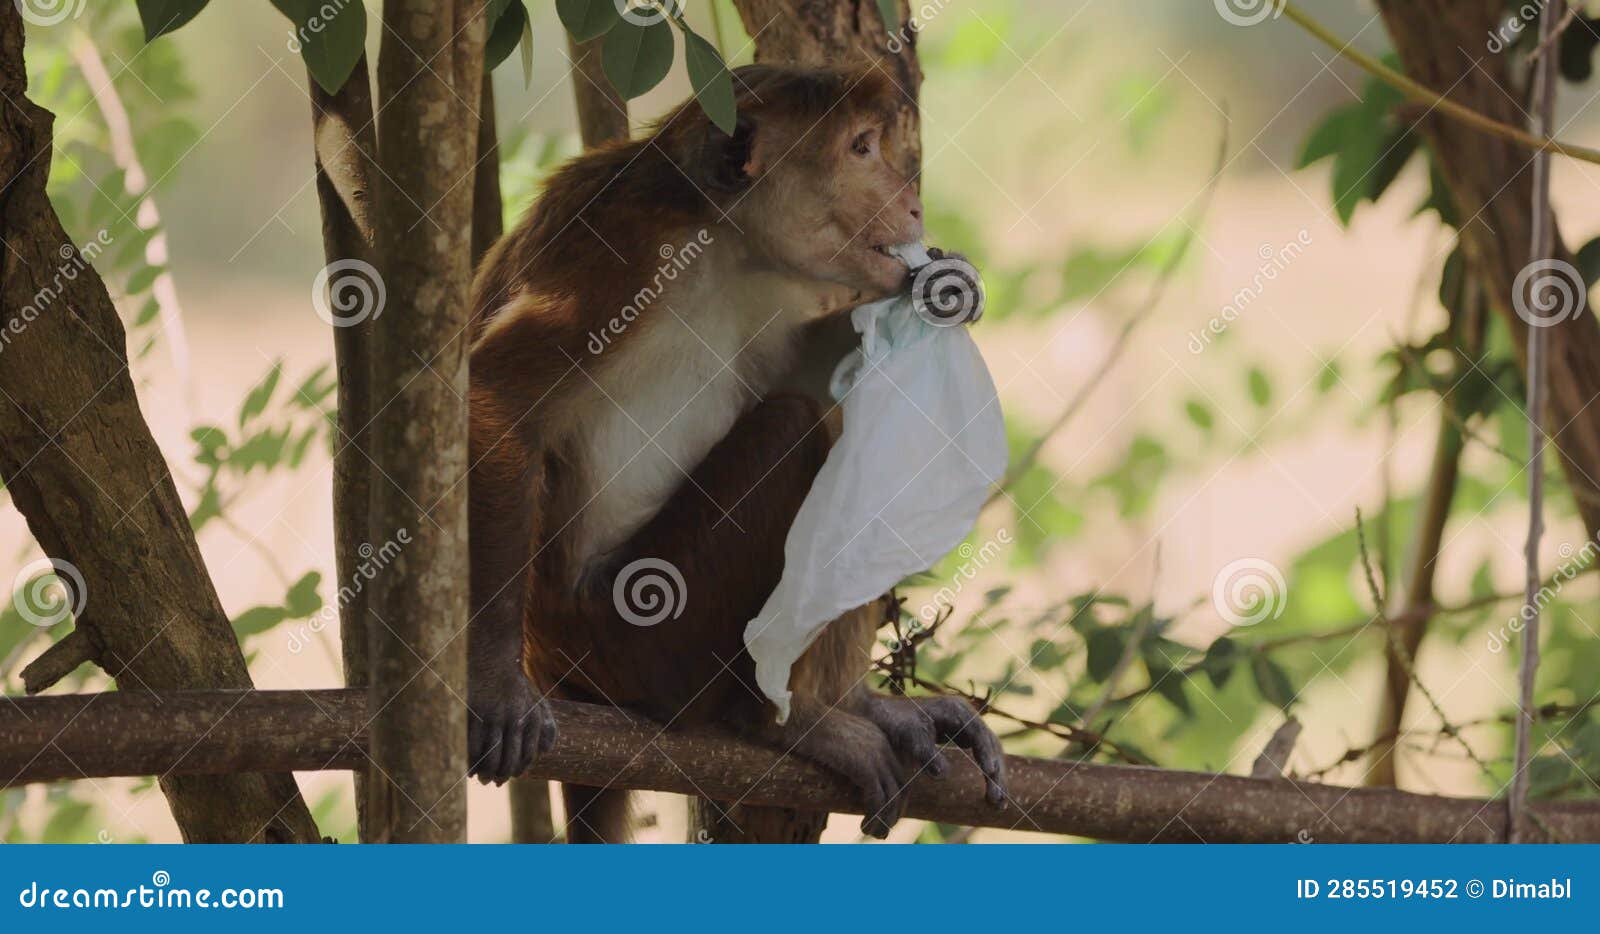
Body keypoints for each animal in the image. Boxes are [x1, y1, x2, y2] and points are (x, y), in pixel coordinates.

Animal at [465, 64, 1007, 841]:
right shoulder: (621, 255)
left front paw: (944, 287)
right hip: (633, 640)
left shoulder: (770, 283)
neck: (721, 239)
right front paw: (491, 684)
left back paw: (854, 705)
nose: (911, 204)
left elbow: (804, 365)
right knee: (795, 430)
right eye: (862, 148)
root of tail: (562, 673)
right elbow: (499, 397)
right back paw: (781, 721)